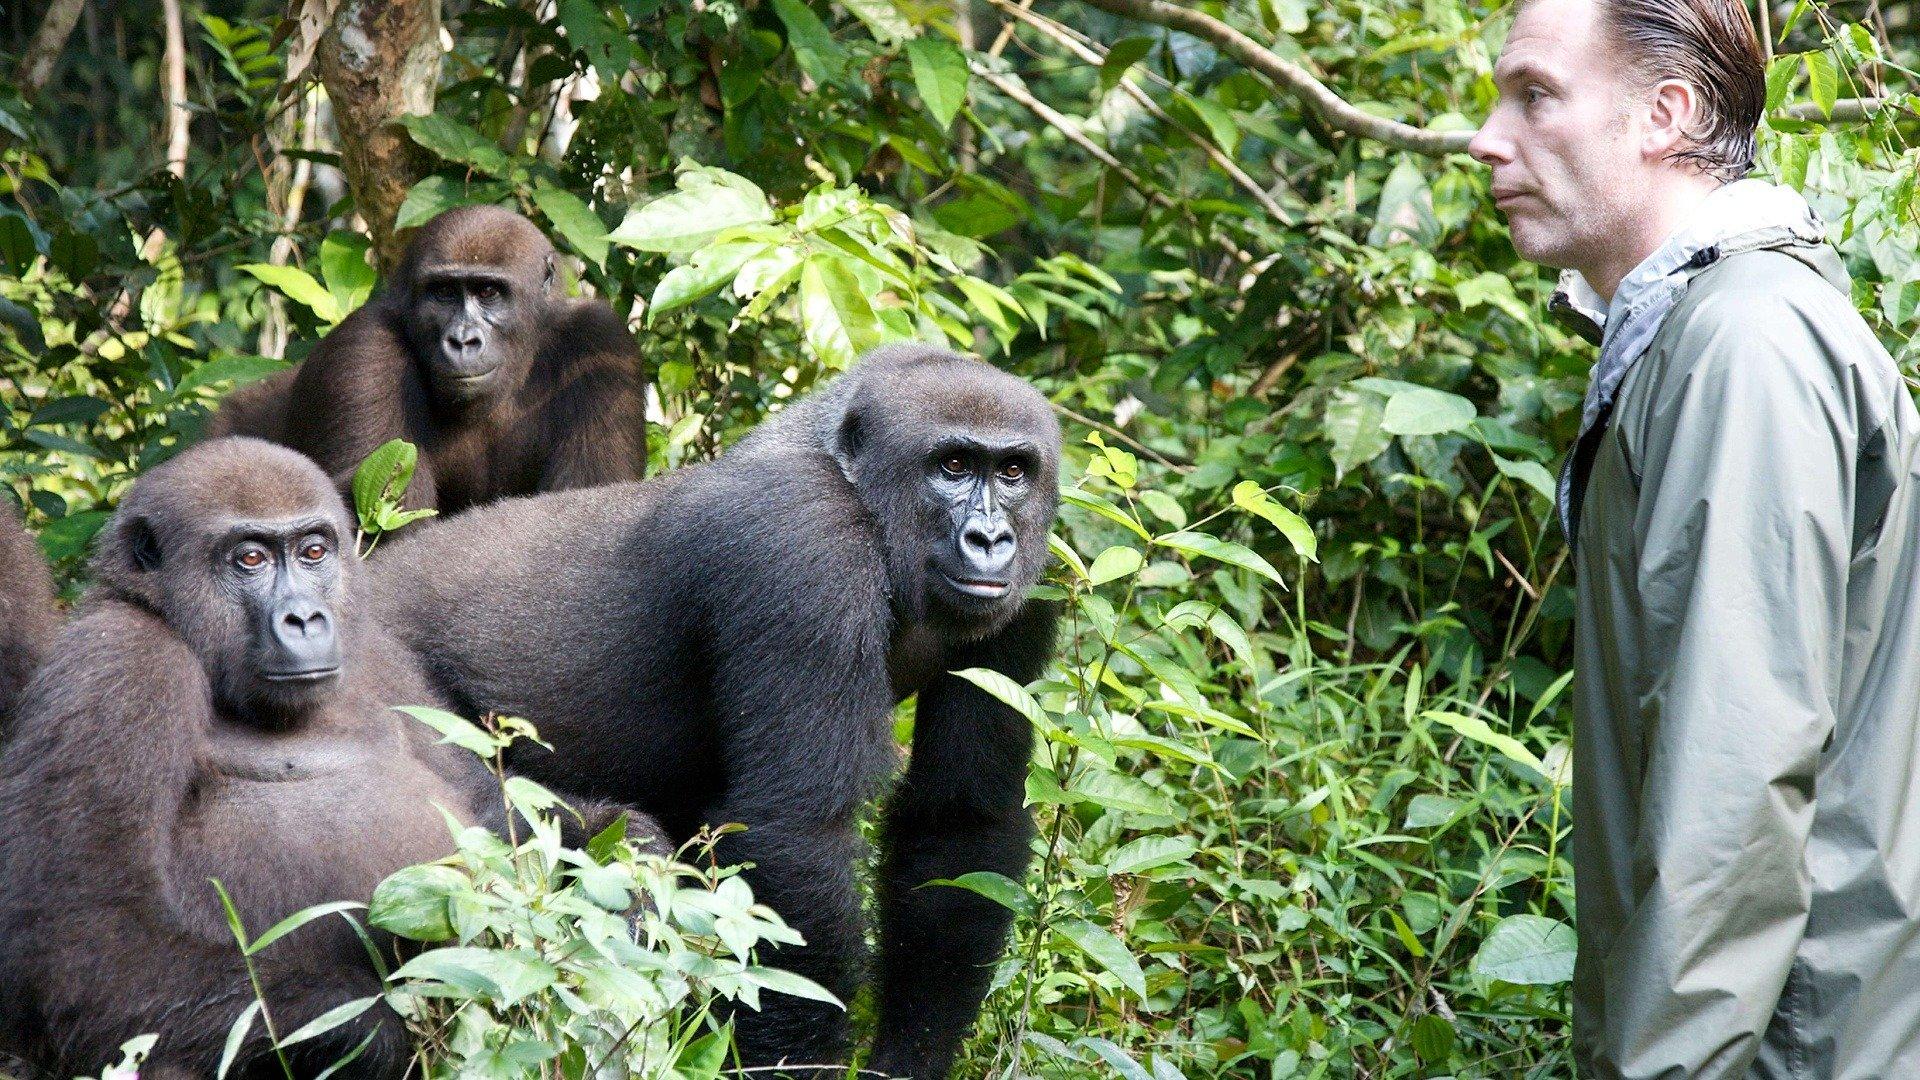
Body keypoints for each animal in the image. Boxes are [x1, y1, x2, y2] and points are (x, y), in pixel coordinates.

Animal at [0, 438, 660, 1080]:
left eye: (314, 552)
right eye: (250, 560)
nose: (305, 618)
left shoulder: (381, 653)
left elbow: (487, 808)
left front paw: (622, 854)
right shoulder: (118, 662)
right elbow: (89, 946)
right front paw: (394, 1026)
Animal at [363, 344, 1062, 1078]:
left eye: (1013, 471)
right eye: (951, 466)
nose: (991, 539)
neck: (856, 483)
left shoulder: (1034, 580)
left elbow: (960, 822)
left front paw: (908, 1057)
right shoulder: (802, 549)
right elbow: (797, 837)